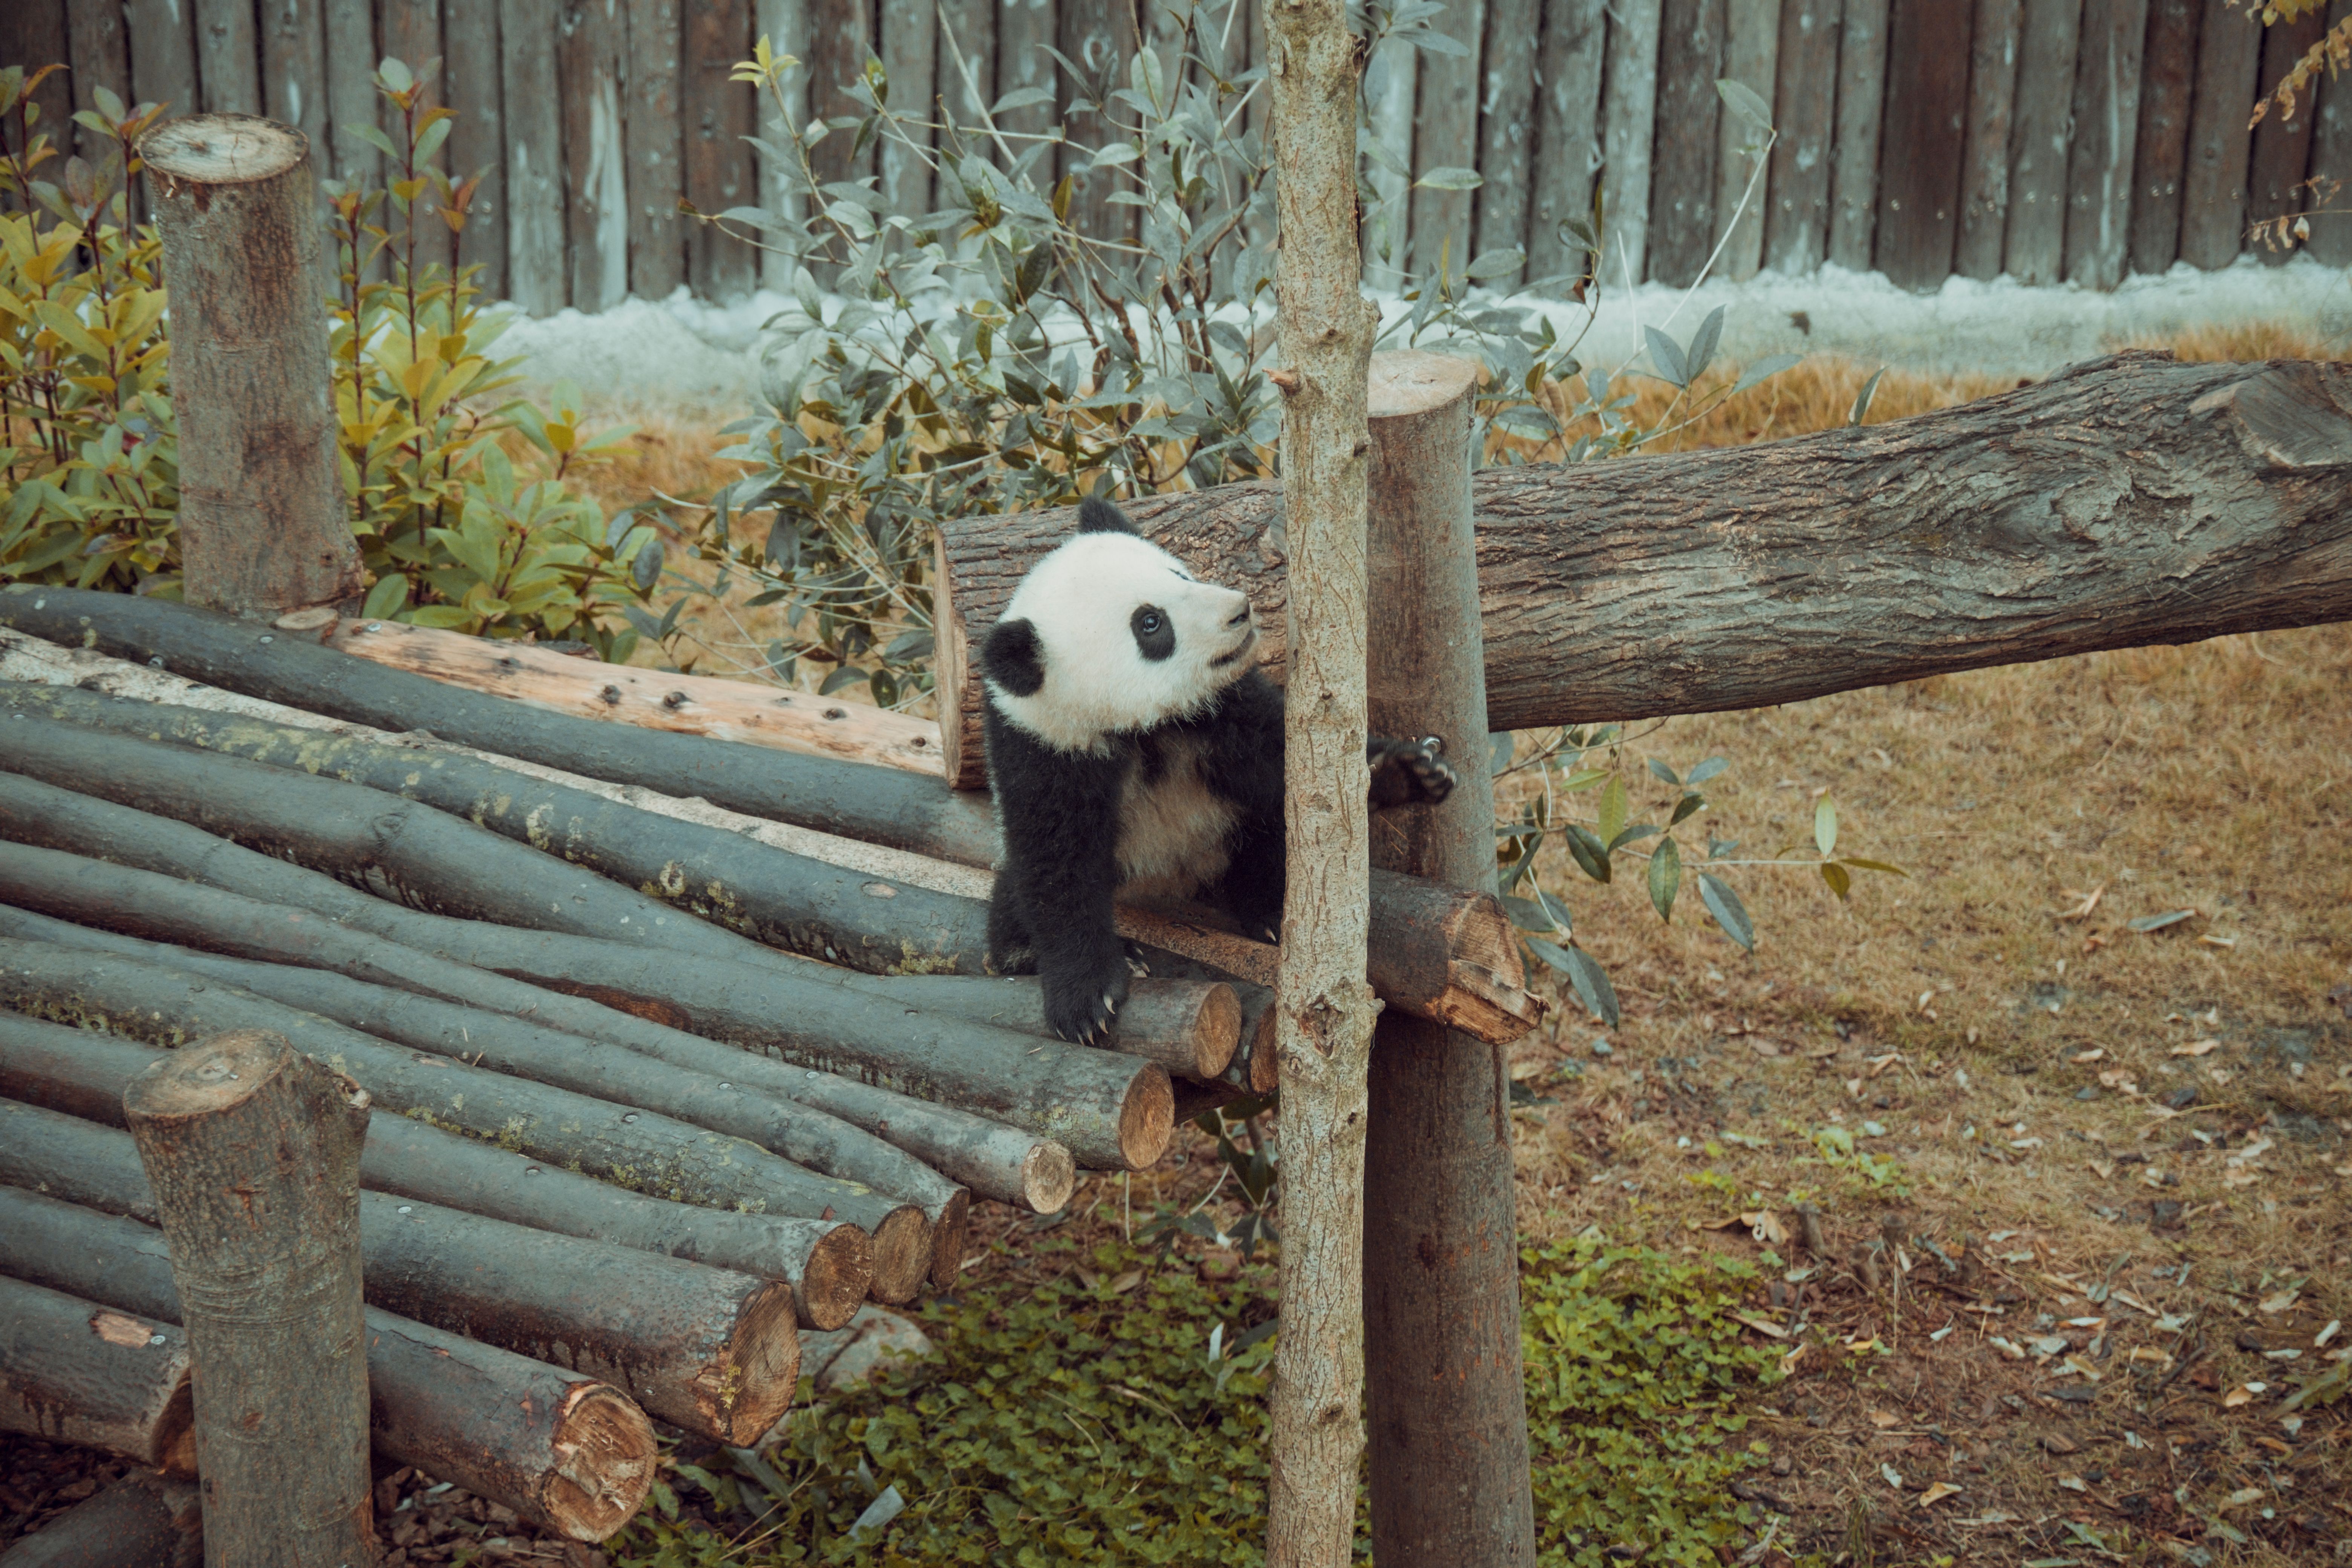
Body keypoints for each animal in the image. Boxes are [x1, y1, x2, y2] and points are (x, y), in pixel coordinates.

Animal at [979, 495, 1457, 1045]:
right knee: (1013, 893)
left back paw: (1269, 908)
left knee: (1267, 834)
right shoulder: (1045, 750)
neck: (1147, 729)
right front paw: (1086, 1001)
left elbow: (1281, 762)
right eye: (1151, 624)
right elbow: (1058, 865)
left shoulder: (1224, 709)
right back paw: (1041, 952)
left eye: (1179, 574)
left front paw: (1406, 771)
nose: (1239, 611)